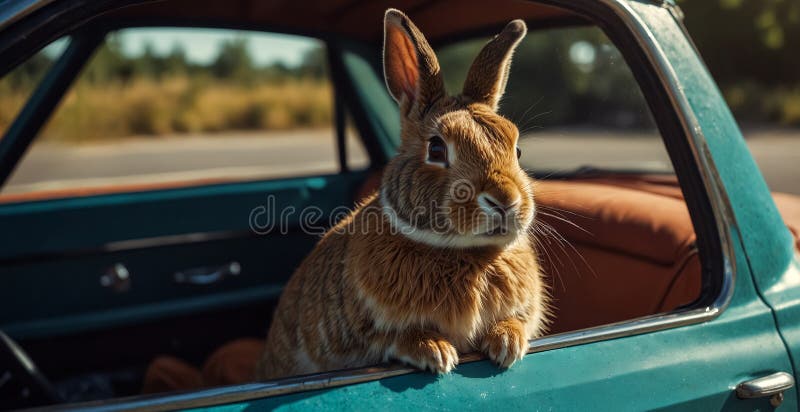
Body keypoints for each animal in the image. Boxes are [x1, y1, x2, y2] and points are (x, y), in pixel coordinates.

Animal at [256, 8, 548, 380]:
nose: (505, 201)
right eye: (436, 149)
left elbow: (520, 321)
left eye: (517, 149)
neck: (464, 252)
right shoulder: (363, 332)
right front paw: (436, 351)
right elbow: (393, 338)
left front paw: (508, 342)